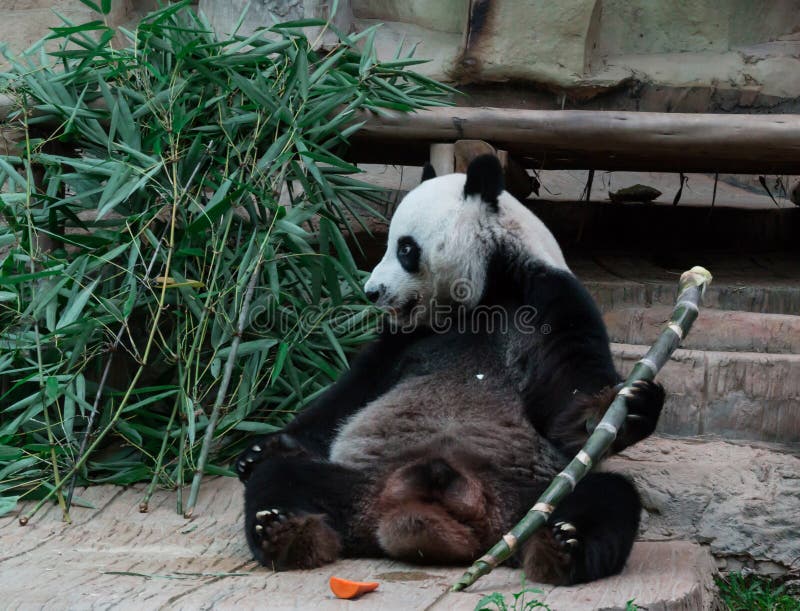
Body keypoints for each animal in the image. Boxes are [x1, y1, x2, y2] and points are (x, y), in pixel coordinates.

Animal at [236, 155, 664, 585]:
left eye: (405, 248)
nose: (372, 292)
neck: (487, 292)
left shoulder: (552, 300)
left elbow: (569, 402)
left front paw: (628, 408)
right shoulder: (404, 338)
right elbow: (353, 391)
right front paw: (260, 448)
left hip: (534, 494)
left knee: (607, 497)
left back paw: (561, 549)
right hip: (354, 481)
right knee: (280, 478)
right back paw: (286, 532)